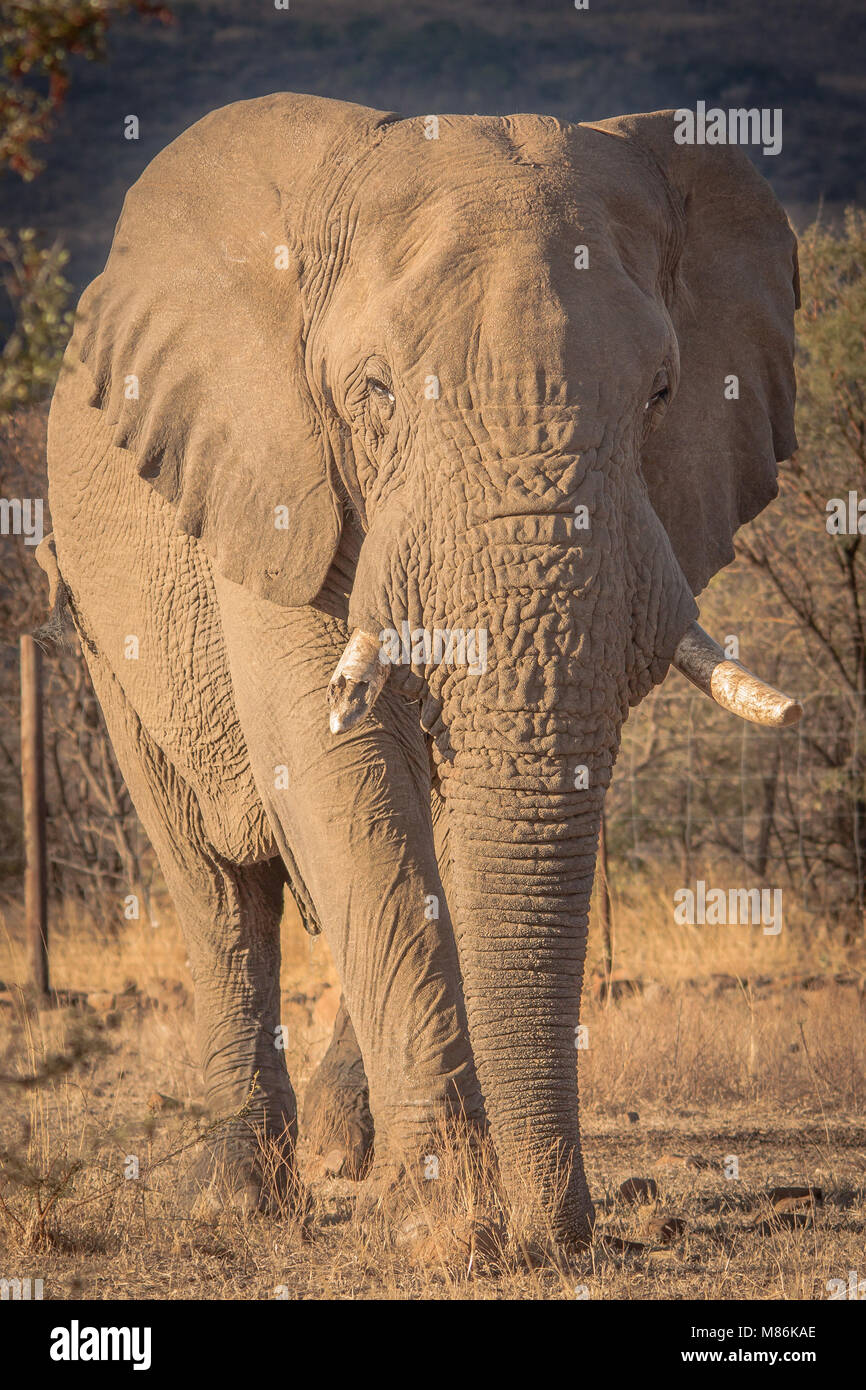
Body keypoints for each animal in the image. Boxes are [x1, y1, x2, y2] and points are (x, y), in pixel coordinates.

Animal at [43, 93, 801, 1249]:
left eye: (663, 393)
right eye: (375, 394)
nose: (559, 1236)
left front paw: (453, 1215)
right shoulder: (275, 480)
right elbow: (335, 766)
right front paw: (448, 1229)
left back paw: (341, 1155)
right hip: (98, 618)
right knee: (215, 879)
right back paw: (240, 1196)